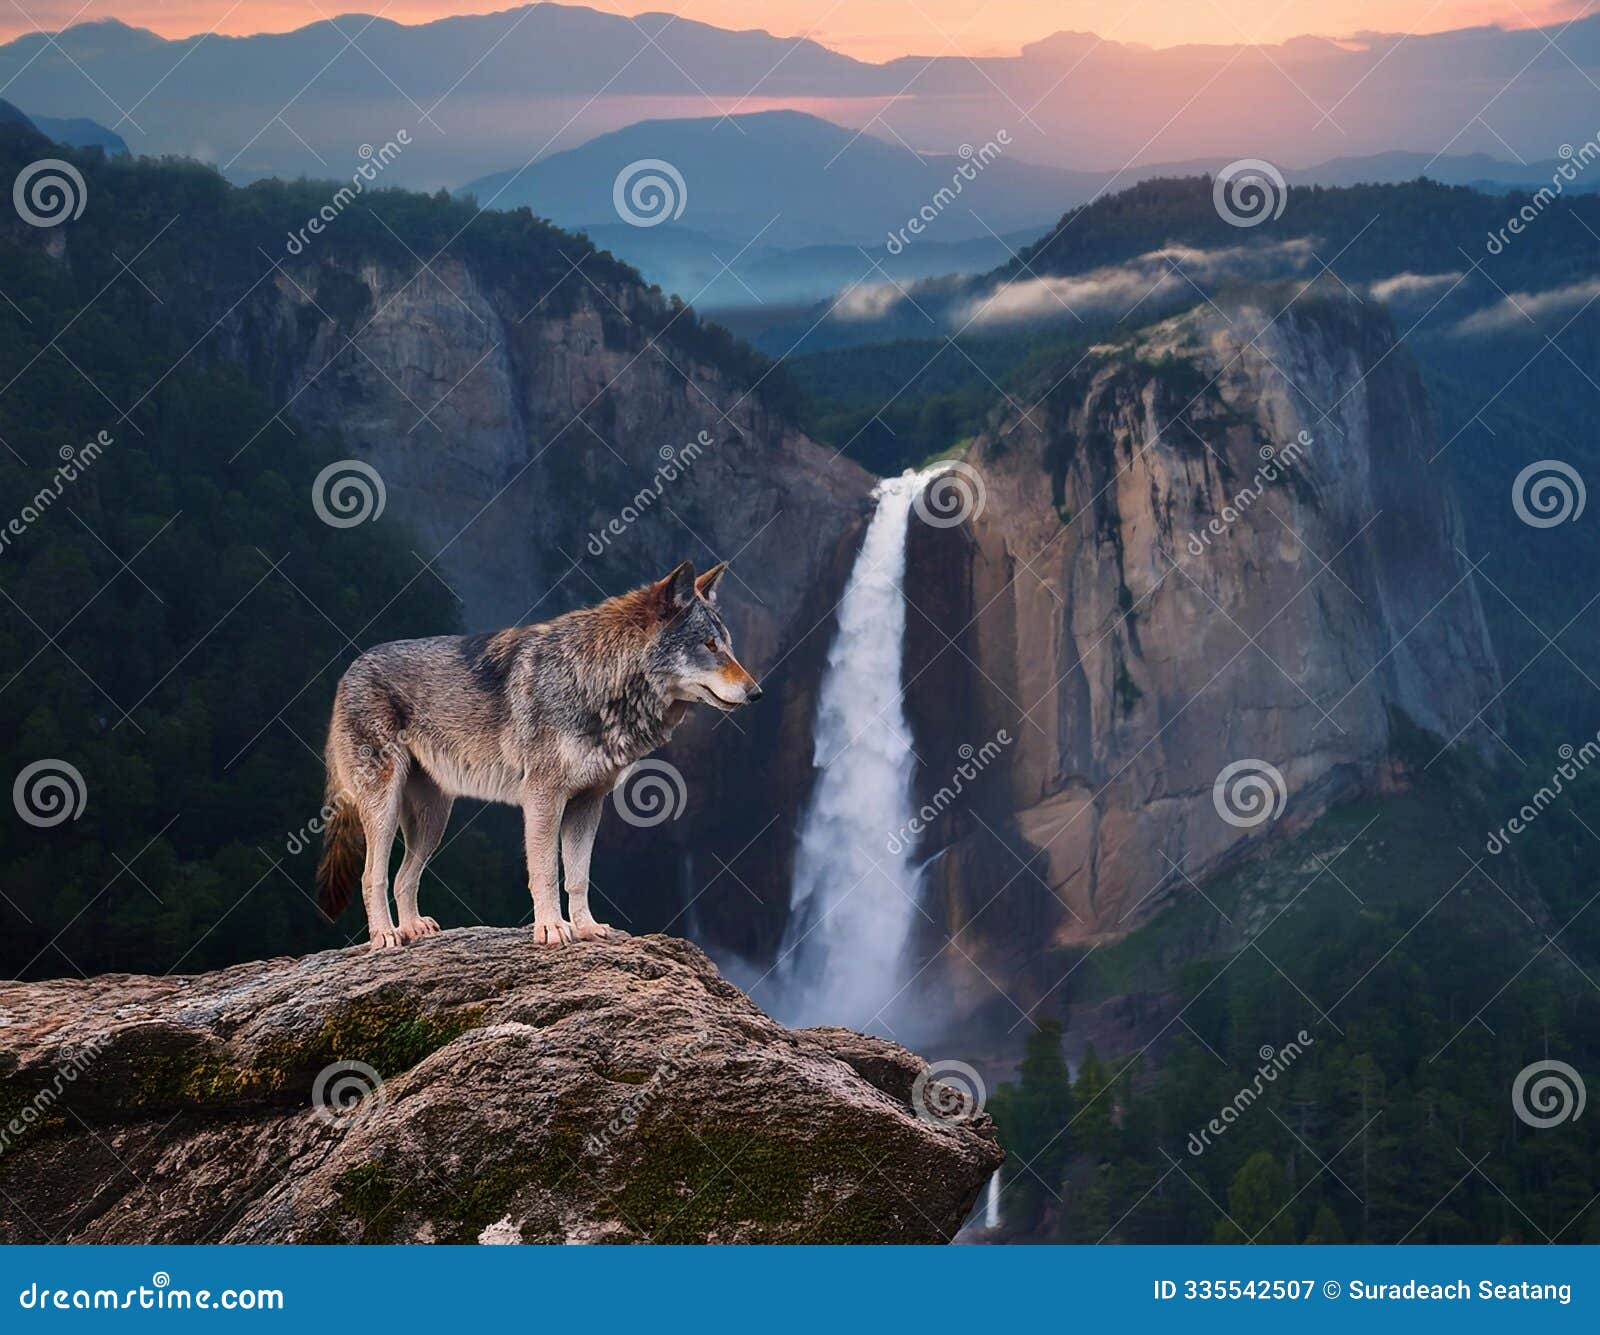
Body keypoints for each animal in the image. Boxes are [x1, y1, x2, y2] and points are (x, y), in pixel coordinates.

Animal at [315, 560, 761, 949]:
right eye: (709, 645)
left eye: (729, 647)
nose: (756, 692)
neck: (595, 679)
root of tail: (348, 670)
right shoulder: (543, 798)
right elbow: (546, 871)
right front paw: (551, 929)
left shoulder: (587, 804)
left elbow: (578, 877)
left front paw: (586, 927)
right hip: (385, 810)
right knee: (372, 876)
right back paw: (385, 936)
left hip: (433, 820)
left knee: (404, 876)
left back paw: (412, 929)